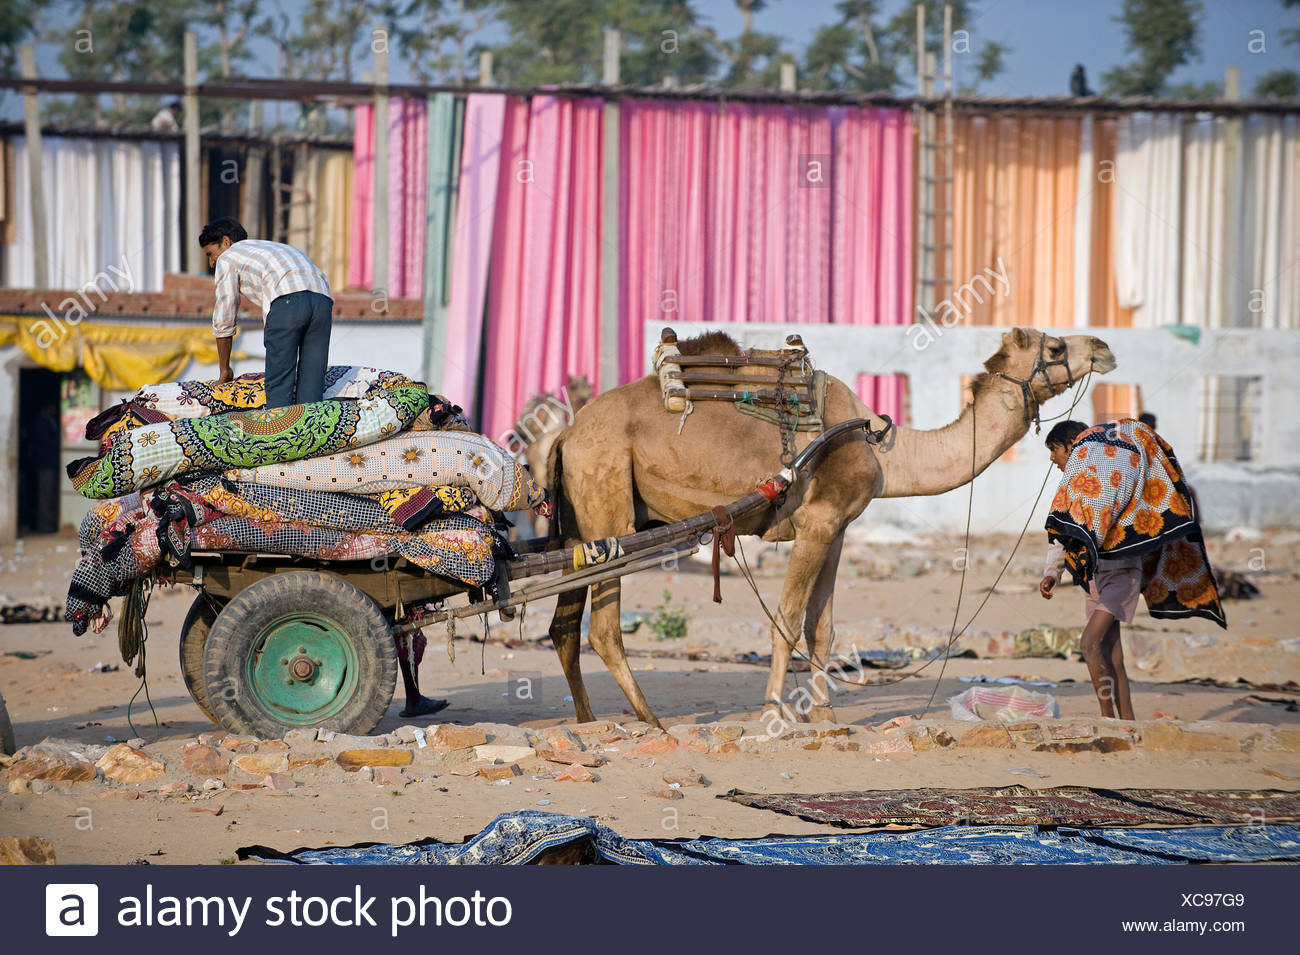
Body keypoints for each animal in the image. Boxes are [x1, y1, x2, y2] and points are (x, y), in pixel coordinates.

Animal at [545, 327, 1116, 728]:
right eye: (1055, 345)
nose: (1105, 348)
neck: (883, 449)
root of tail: (568, 434)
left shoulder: (837, 528)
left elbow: (823, 625)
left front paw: (823, 714)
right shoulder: (818, 521)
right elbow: (788, 618)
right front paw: (773, 711)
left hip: (578, 527)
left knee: (564, 625)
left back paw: (589, 721)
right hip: (610, 504)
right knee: (603, 626)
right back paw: (651, 720)